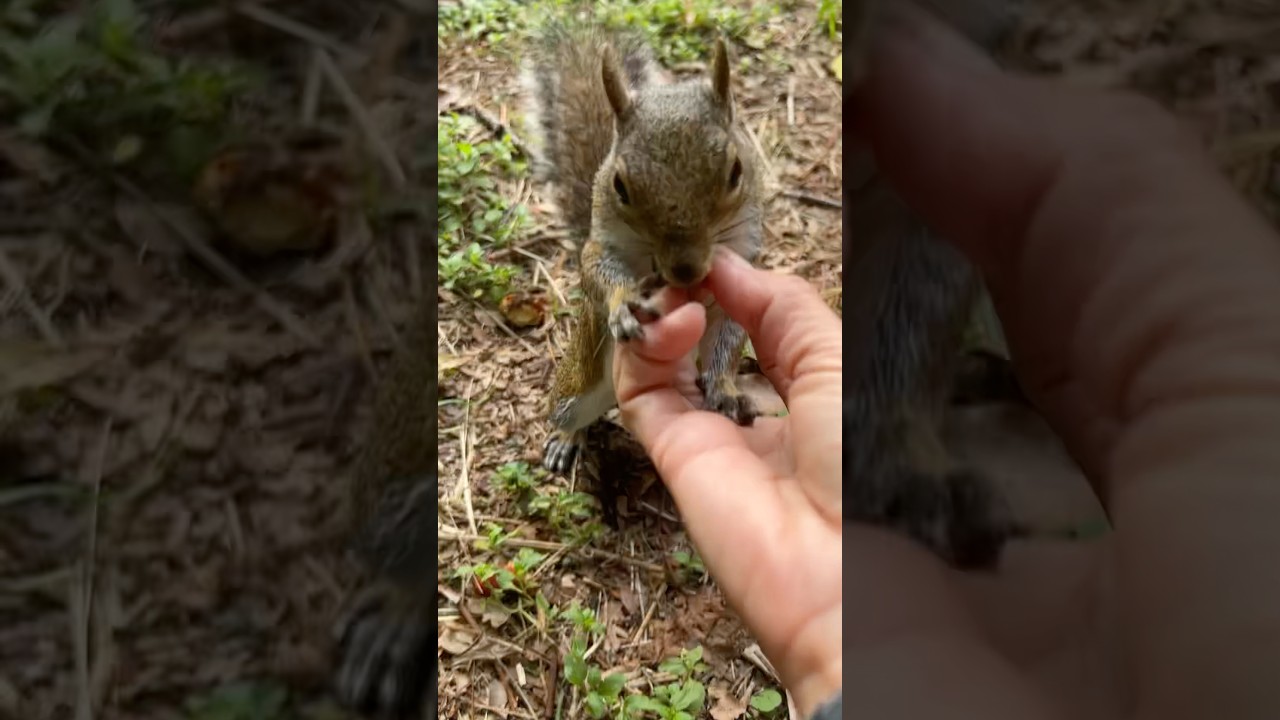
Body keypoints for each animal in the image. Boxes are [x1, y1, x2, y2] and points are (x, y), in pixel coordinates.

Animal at [518, 24, 767, 476]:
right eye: (620, 186)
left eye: (737, 171)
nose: (685, 270)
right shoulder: (600, 246)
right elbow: (598, 272)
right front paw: (624, 303)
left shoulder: (745, 256)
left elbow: (729, 334)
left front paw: (725, 389)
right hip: (577, 385)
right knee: (565, 410)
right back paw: (565, 439)